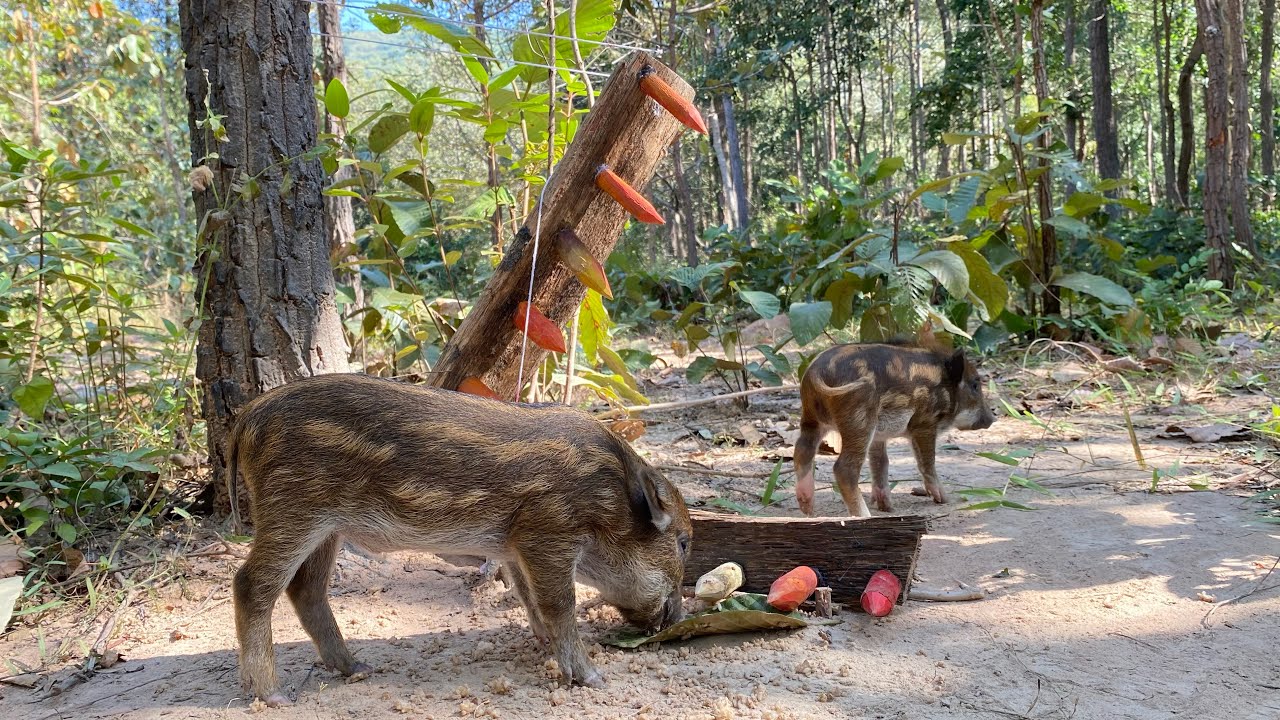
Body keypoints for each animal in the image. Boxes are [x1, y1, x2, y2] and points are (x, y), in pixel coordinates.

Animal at [225, 374, 691, 707]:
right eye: (684, 542)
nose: (675, 619)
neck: (610, 498)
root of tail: (246, 418)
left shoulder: (515, 544)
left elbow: (529, 597)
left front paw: (543, 645)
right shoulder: (549, 530)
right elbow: (560, 603)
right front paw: (594, 678)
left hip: (326, 529)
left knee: (306, 590)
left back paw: (358, 667)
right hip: (293, 509)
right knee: (253, 583)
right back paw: (273, 695)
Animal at [792, 341, 995, 518]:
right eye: (975, 385)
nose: (993, 418)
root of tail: (816, 371)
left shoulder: (879, 437)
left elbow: (881, 463)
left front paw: (888, 508)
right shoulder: (924, 423)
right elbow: (927, 461)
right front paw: (945, 499)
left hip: (812, 419)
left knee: (802, 451)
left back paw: (808, 510)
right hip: (859, 419)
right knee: (844, 468)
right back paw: (864, 516)